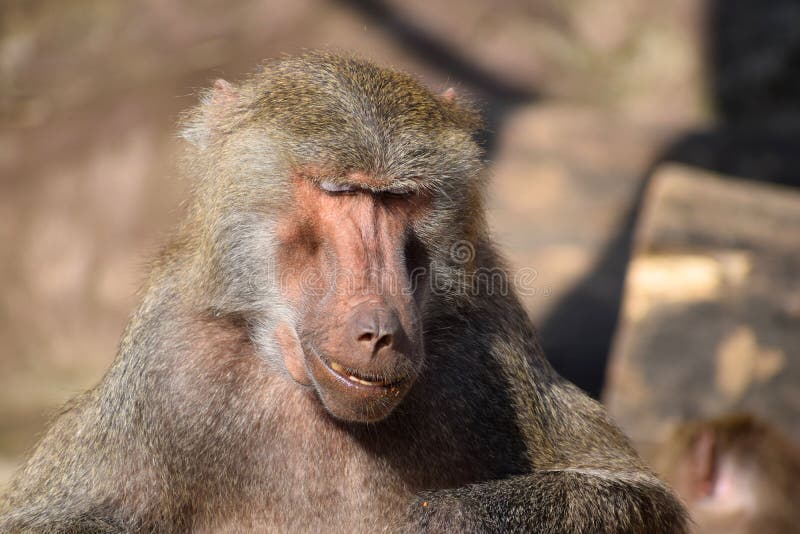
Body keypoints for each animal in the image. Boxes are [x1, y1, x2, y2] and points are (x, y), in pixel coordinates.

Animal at [0, 52, 687, 533]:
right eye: (341, 192)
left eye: (398, 198)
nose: (381, 331)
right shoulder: (164, 361)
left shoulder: (491, 340)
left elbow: (640, 496)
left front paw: (453, 519)